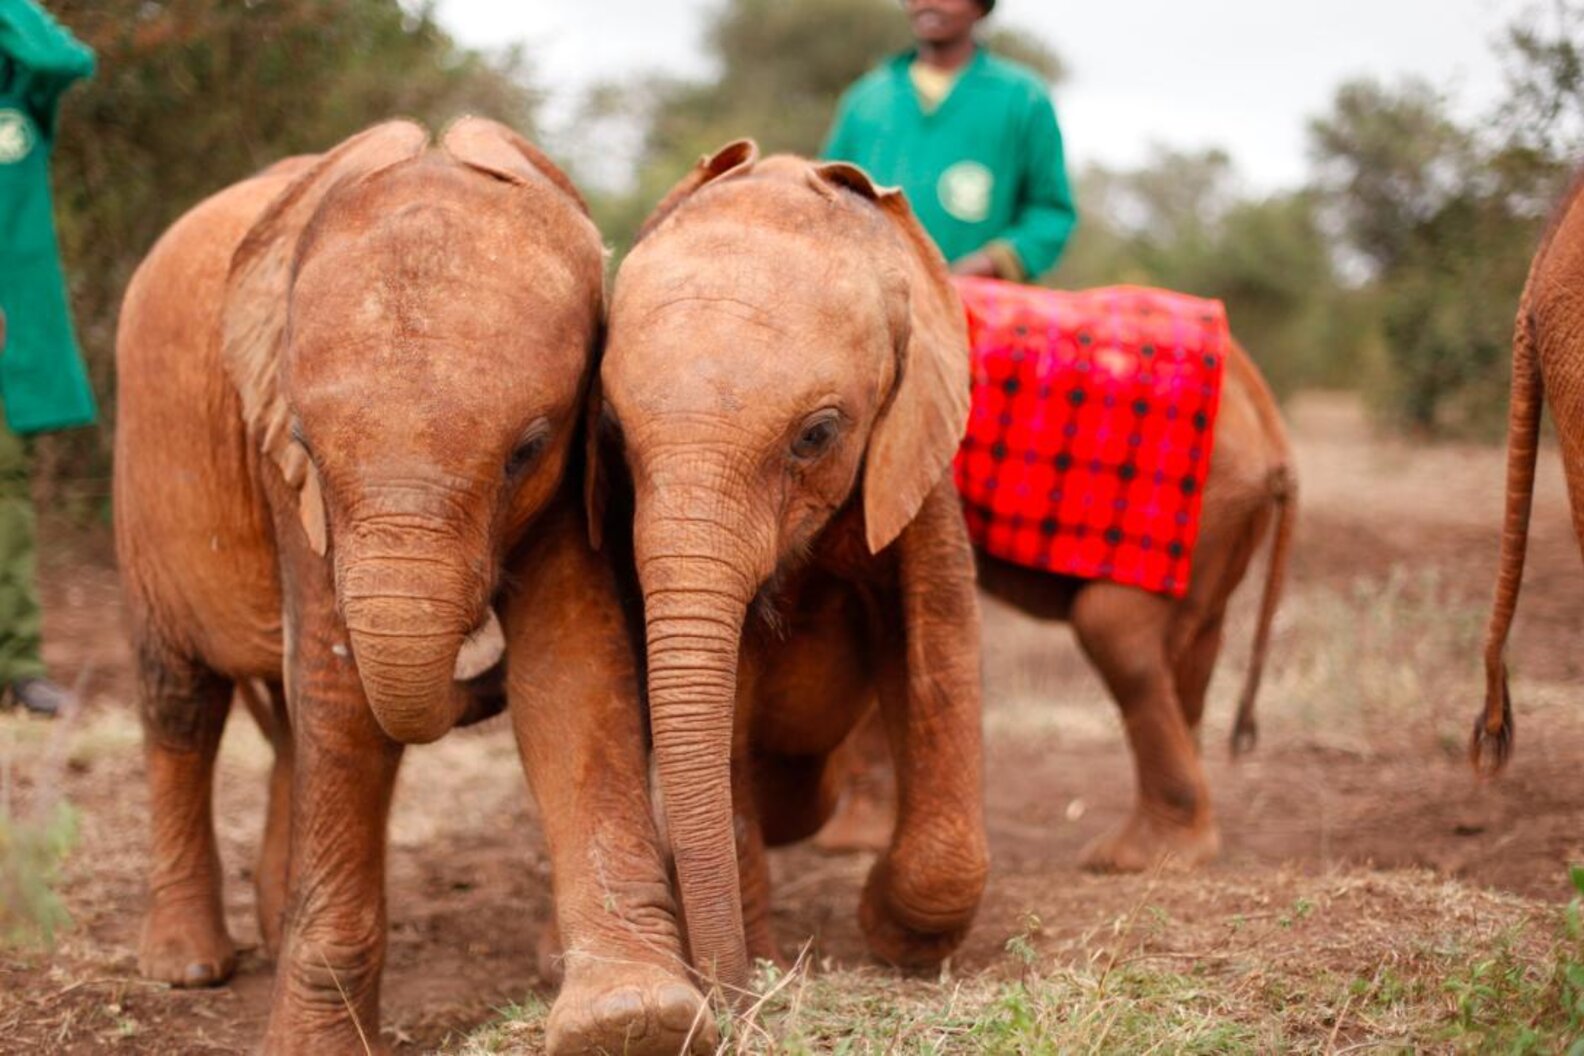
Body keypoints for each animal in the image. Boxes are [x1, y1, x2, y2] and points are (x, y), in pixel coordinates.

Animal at [115, 119, 711, 1055]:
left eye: (526, 451)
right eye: (305, 444)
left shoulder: (572, 471)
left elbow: (570, 667)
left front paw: (633, 1022)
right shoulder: (291, 485)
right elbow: (339, 691)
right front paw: (310, 1045)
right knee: (180, 700)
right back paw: (186, 966)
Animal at [590, 140, 991, 994]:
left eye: (817, 435)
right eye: (609, 431)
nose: (729, 995)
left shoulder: (916, 476)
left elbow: (937, 659)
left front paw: (891, 939)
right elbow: (723, 731)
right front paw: (769, 968)